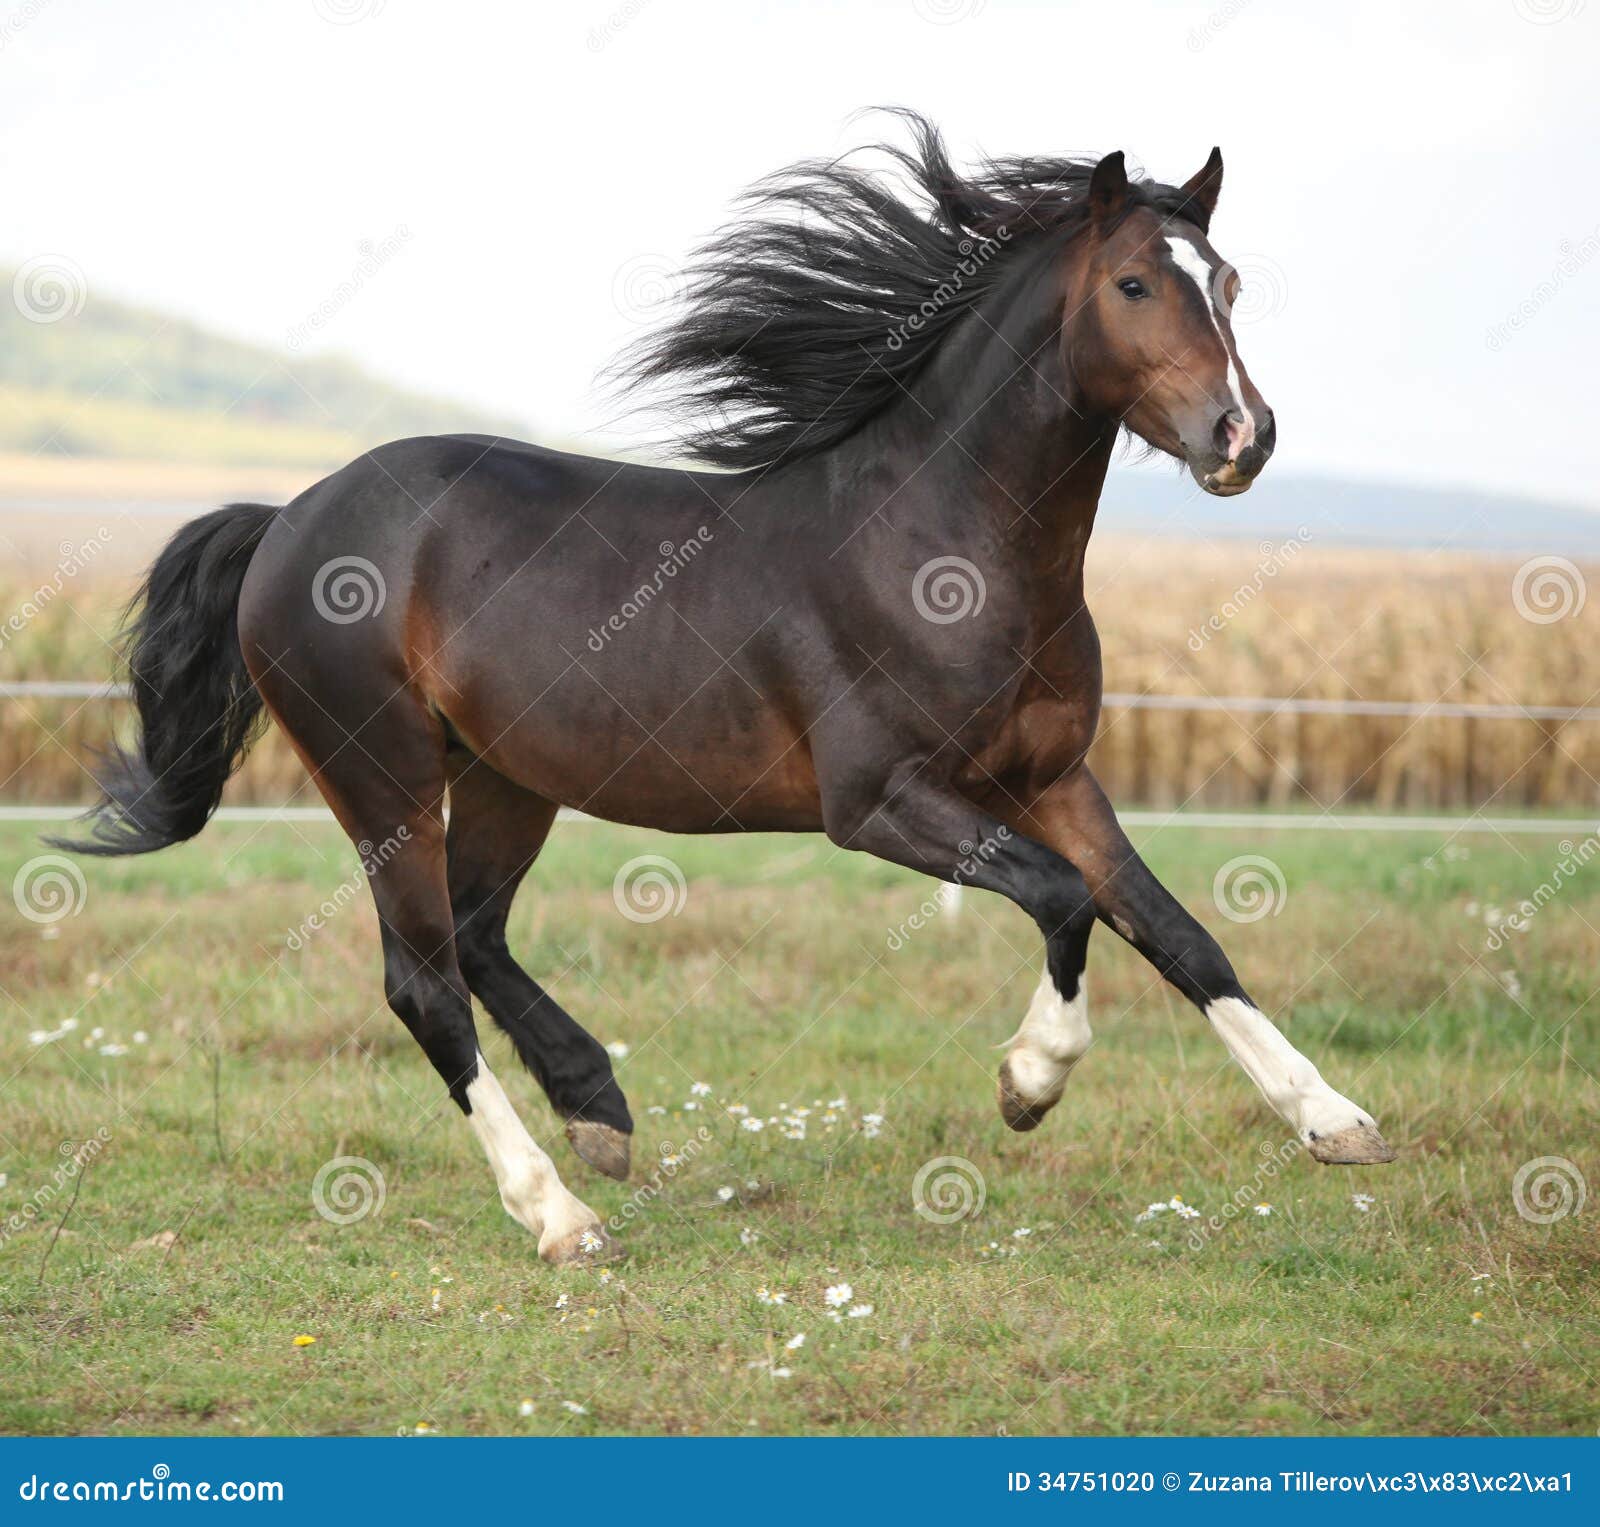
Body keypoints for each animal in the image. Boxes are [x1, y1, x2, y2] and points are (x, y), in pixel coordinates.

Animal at [56, 113, 1394, 1266]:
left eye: (1226, 283)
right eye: (1131, 286)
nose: (1242, 435)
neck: (944, 548)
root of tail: (288, 518)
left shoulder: (1050, 780)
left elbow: (1174, 931)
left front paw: (1332, 1120)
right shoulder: (882, 802)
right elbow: (1065, 905)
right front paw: (1027, 1084)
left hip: (504, 777)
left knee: (478, 937)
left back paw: (599, 1110)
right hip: (378, 773)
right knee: (423, 984)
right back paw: (558, 1215)